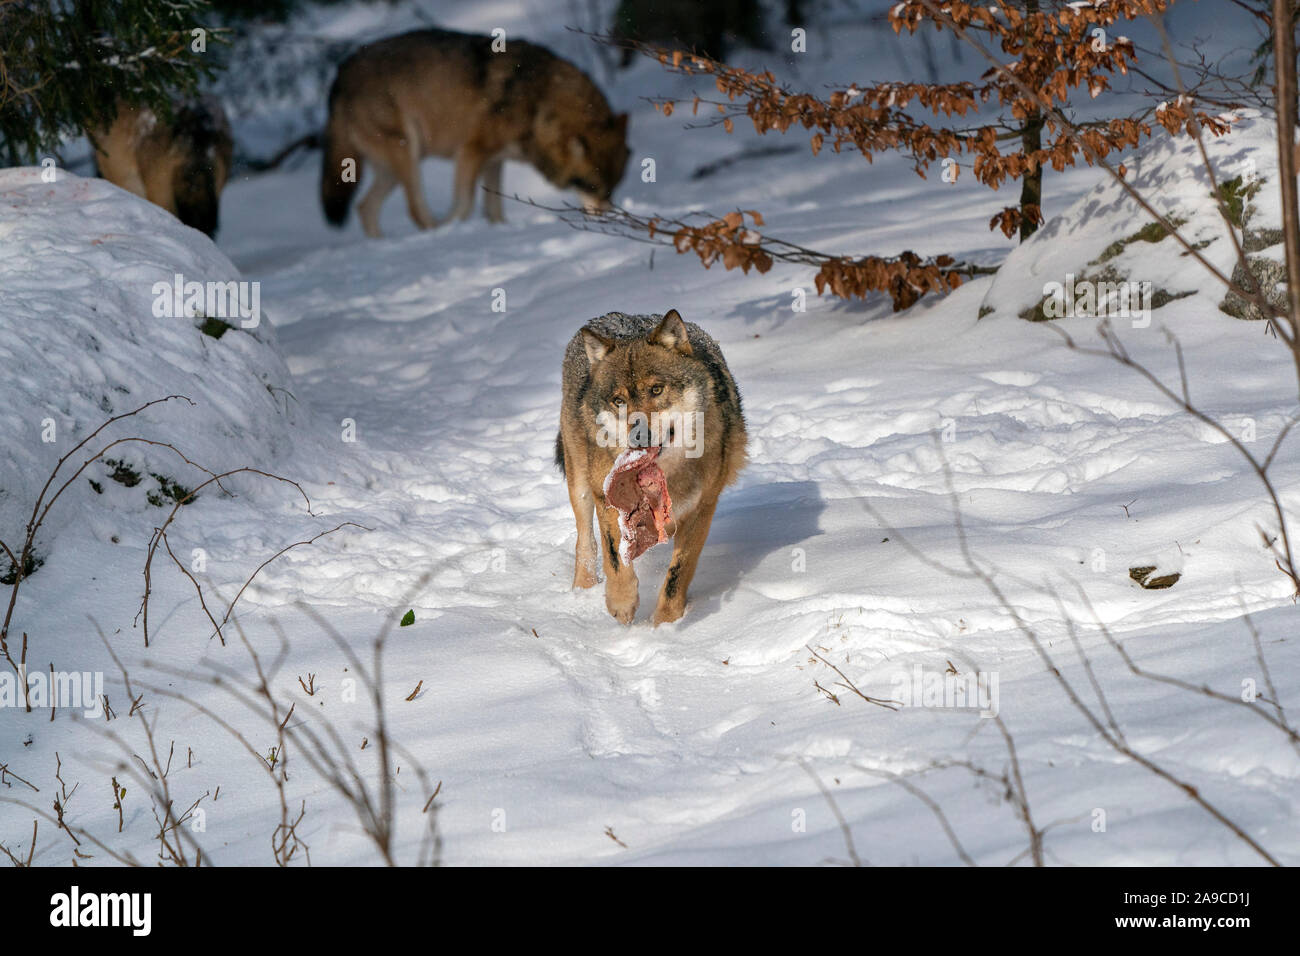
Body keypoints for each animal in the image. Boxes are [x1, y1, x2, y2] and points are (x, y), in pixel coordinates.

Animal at [320, 29, 630, 237]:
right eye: (590, 186)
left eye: (611, 189)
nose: (607, 219)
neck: (538, 102)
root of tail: (341, 71)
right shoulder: (472, 151)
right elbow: (465, 204)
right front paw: (455, 226)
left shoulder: (495, 161)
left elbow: (494, 209)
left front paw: (500, 230)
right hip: (407, 151)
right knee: (415, 211)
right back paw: (435, 232)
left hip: (395, 166)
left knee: (364, 208)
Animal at [557, 310, 747, 626]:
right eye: (619, 400)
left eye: (656, 389)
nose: (639, 435)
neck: (665, 473)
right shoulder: (606, 497)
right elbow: (614, 557)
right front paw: (621, 603)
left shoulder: (702, 507)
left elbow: (678, 574)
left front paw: (665, 625)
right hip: (581, 484)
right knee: (585, 540)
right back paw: (583, 587)